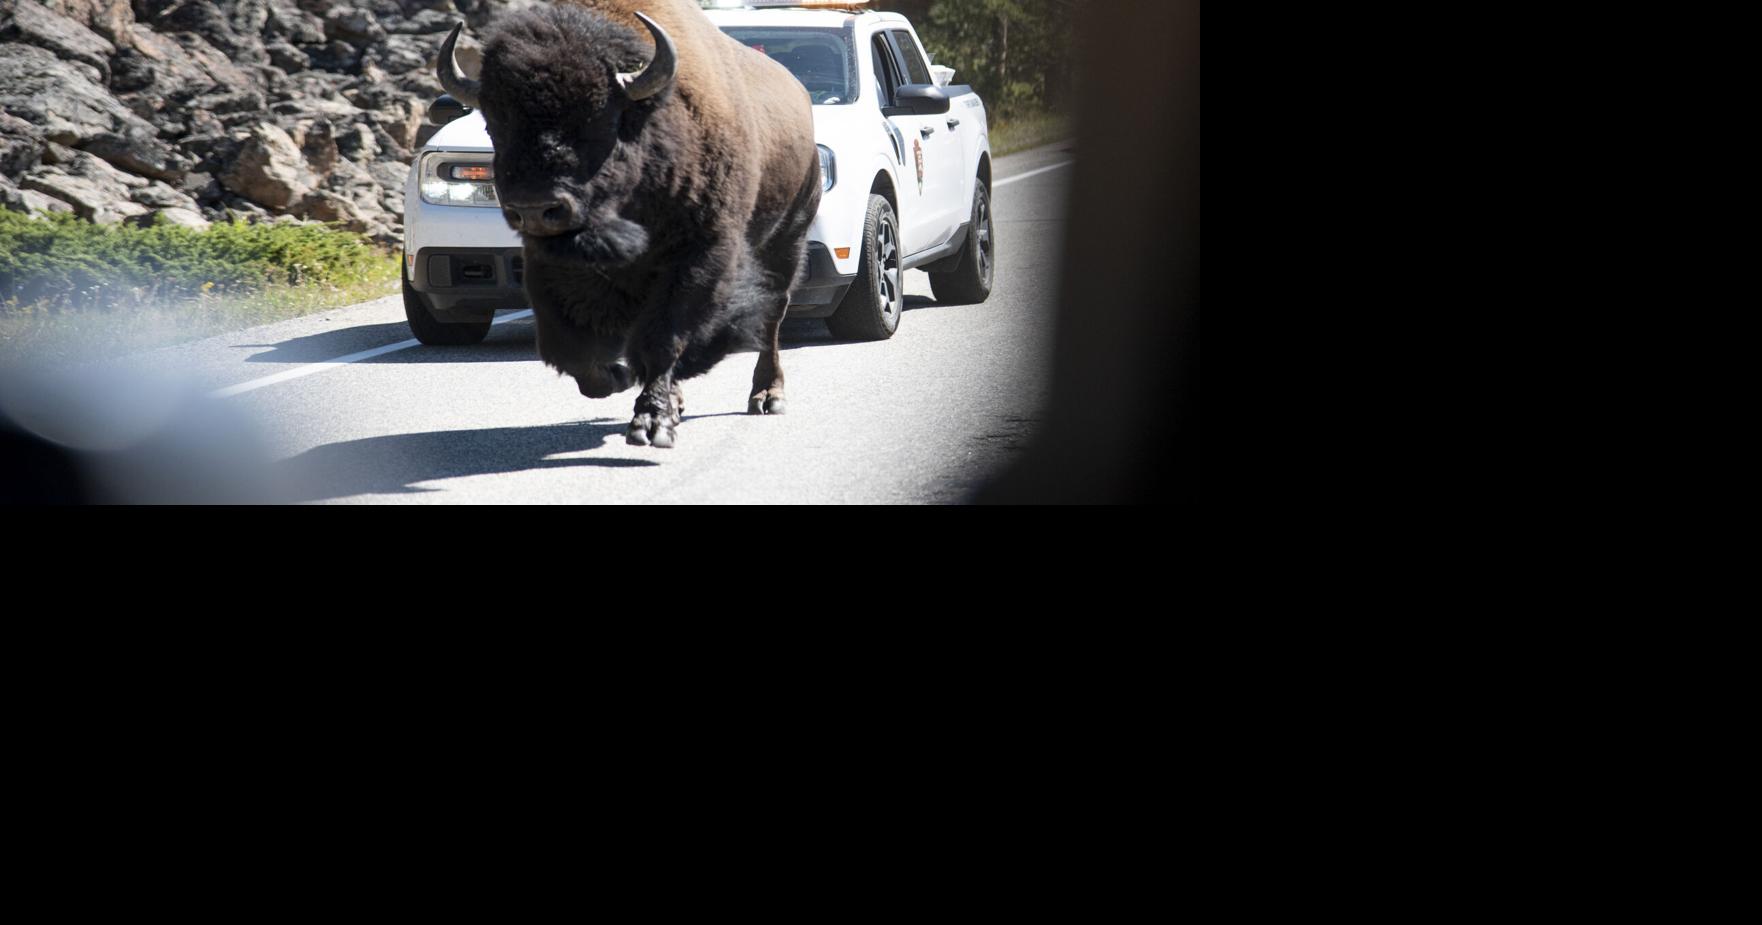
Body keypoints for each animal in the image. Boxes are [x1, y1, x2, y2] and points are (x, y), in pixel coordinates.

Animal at [436, 0, 820, 448]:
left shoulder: (698, 255)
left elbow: (663, 338)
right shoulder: (548, 263)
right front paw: (620, 378)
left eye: (600, 119)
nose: (534, 207)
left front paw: (651, 424)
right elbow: (566, 348)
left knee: (773, 315)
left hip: (788, 239)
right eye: (493, 123)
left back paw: (767, 395)